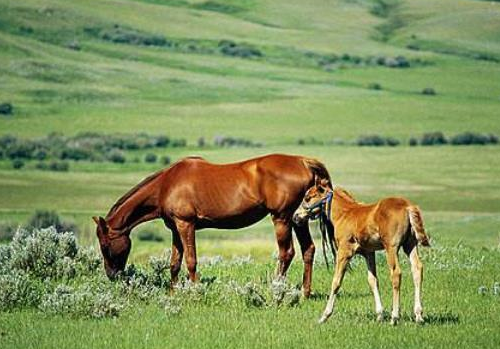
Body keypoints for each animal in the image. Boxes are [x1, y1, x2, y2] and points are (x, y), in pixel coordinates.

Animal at [93, 154, 332, 294]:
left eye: (104, 245)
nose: (111, 275)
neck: (166, 185)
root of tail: (303, 162)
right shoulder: (175, 229)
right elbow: (174, 263)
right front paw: (173, 293)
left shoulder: (186, 225)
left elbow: (191, 260)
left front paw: (194, 291)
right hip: (297, 219)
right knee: (308, 249)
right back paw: (305, 293)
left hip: (282, 218)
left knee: (286, 253)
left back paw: (276, 290)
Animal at [292, 179, 430, 324]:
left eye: (307, 198)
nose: (295, 216)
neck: (344, 214)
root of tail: (407, 206)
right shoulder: (369, 253)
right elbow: (372, 280)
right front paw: (379, 315)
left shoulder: (344, 251)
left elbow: (336, 281)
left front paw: (325, 315)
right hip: (410, 245)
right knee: (417, 268)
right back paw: (418, 315)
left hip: (391, 247)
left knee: (396, 273)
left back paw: (395, 317)